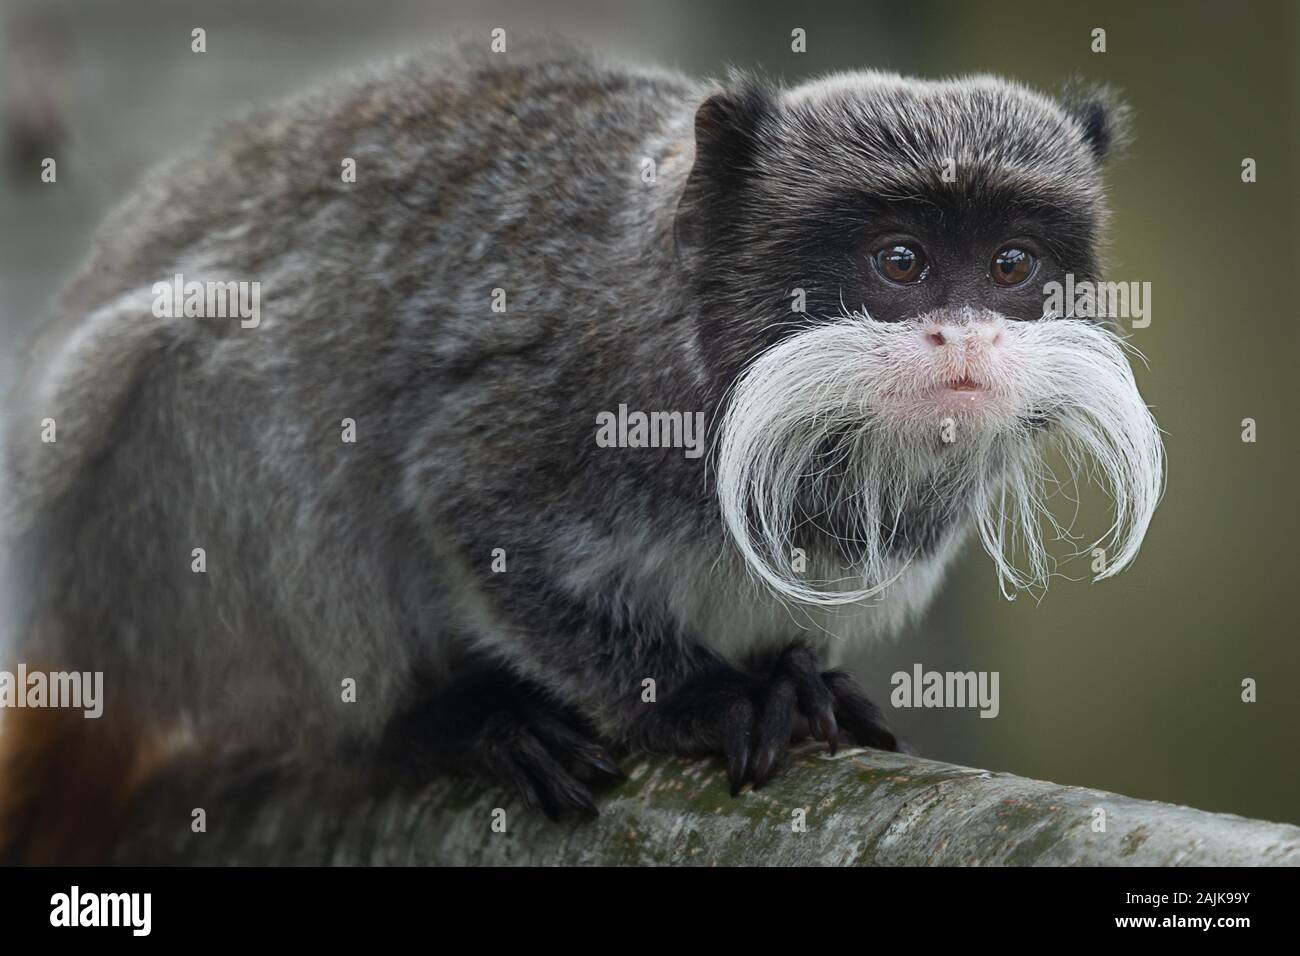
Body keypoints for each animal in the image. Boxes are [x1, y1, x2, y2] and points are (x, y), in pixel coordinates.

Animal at [0, 38, 1163, 863]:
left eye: (1010, 265)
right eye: (902, 261)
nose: (970, 339)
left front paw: (792, 674)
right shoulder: (569, 399)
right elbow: (465, 510)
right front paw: (698, 697)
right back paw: (435, 720)